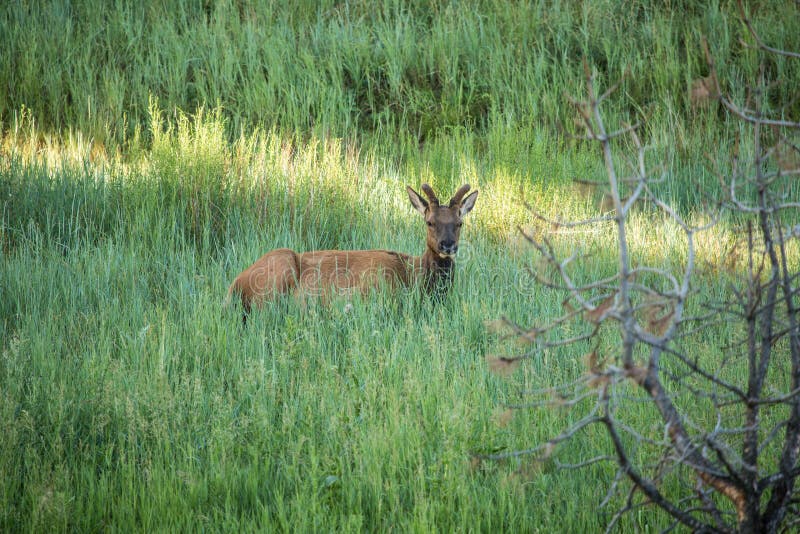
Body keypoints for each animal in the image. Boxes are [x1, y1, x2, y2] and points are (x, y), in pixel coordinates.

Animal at [226, 184, 478, 323]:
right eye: (429, 222)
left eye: (459, 223)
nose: (448, 245)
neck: (413, 276)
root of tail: (235, 286)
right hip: (279, 269)